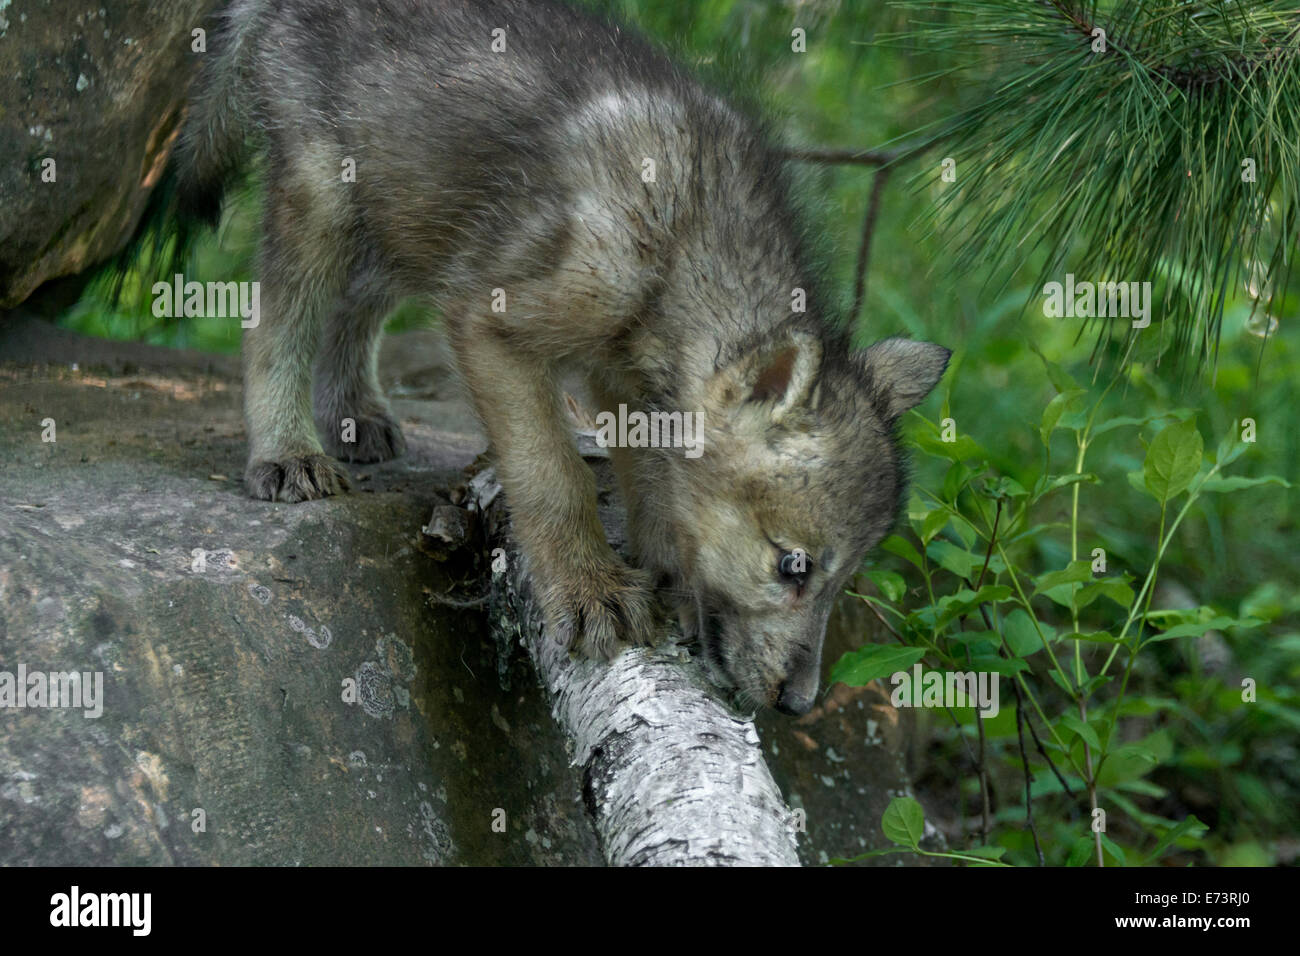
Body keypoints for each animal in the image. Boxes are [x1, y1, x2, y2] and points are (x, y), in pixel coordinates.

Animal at [170, 0, 949, 715]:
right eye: (792, 565)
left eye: (845, 577)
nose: (799, 705)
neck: (682, 240)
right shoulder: (491, 319)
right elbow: (555, 477)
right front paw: (591, 592)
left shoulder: (622, 371)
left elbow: (654, 485)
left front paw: (664, 571)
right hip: (326, 187)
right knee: (273, 319)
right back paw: (287, 453)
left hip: (410, 211)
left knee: (356, 301)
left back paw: (355, 416)